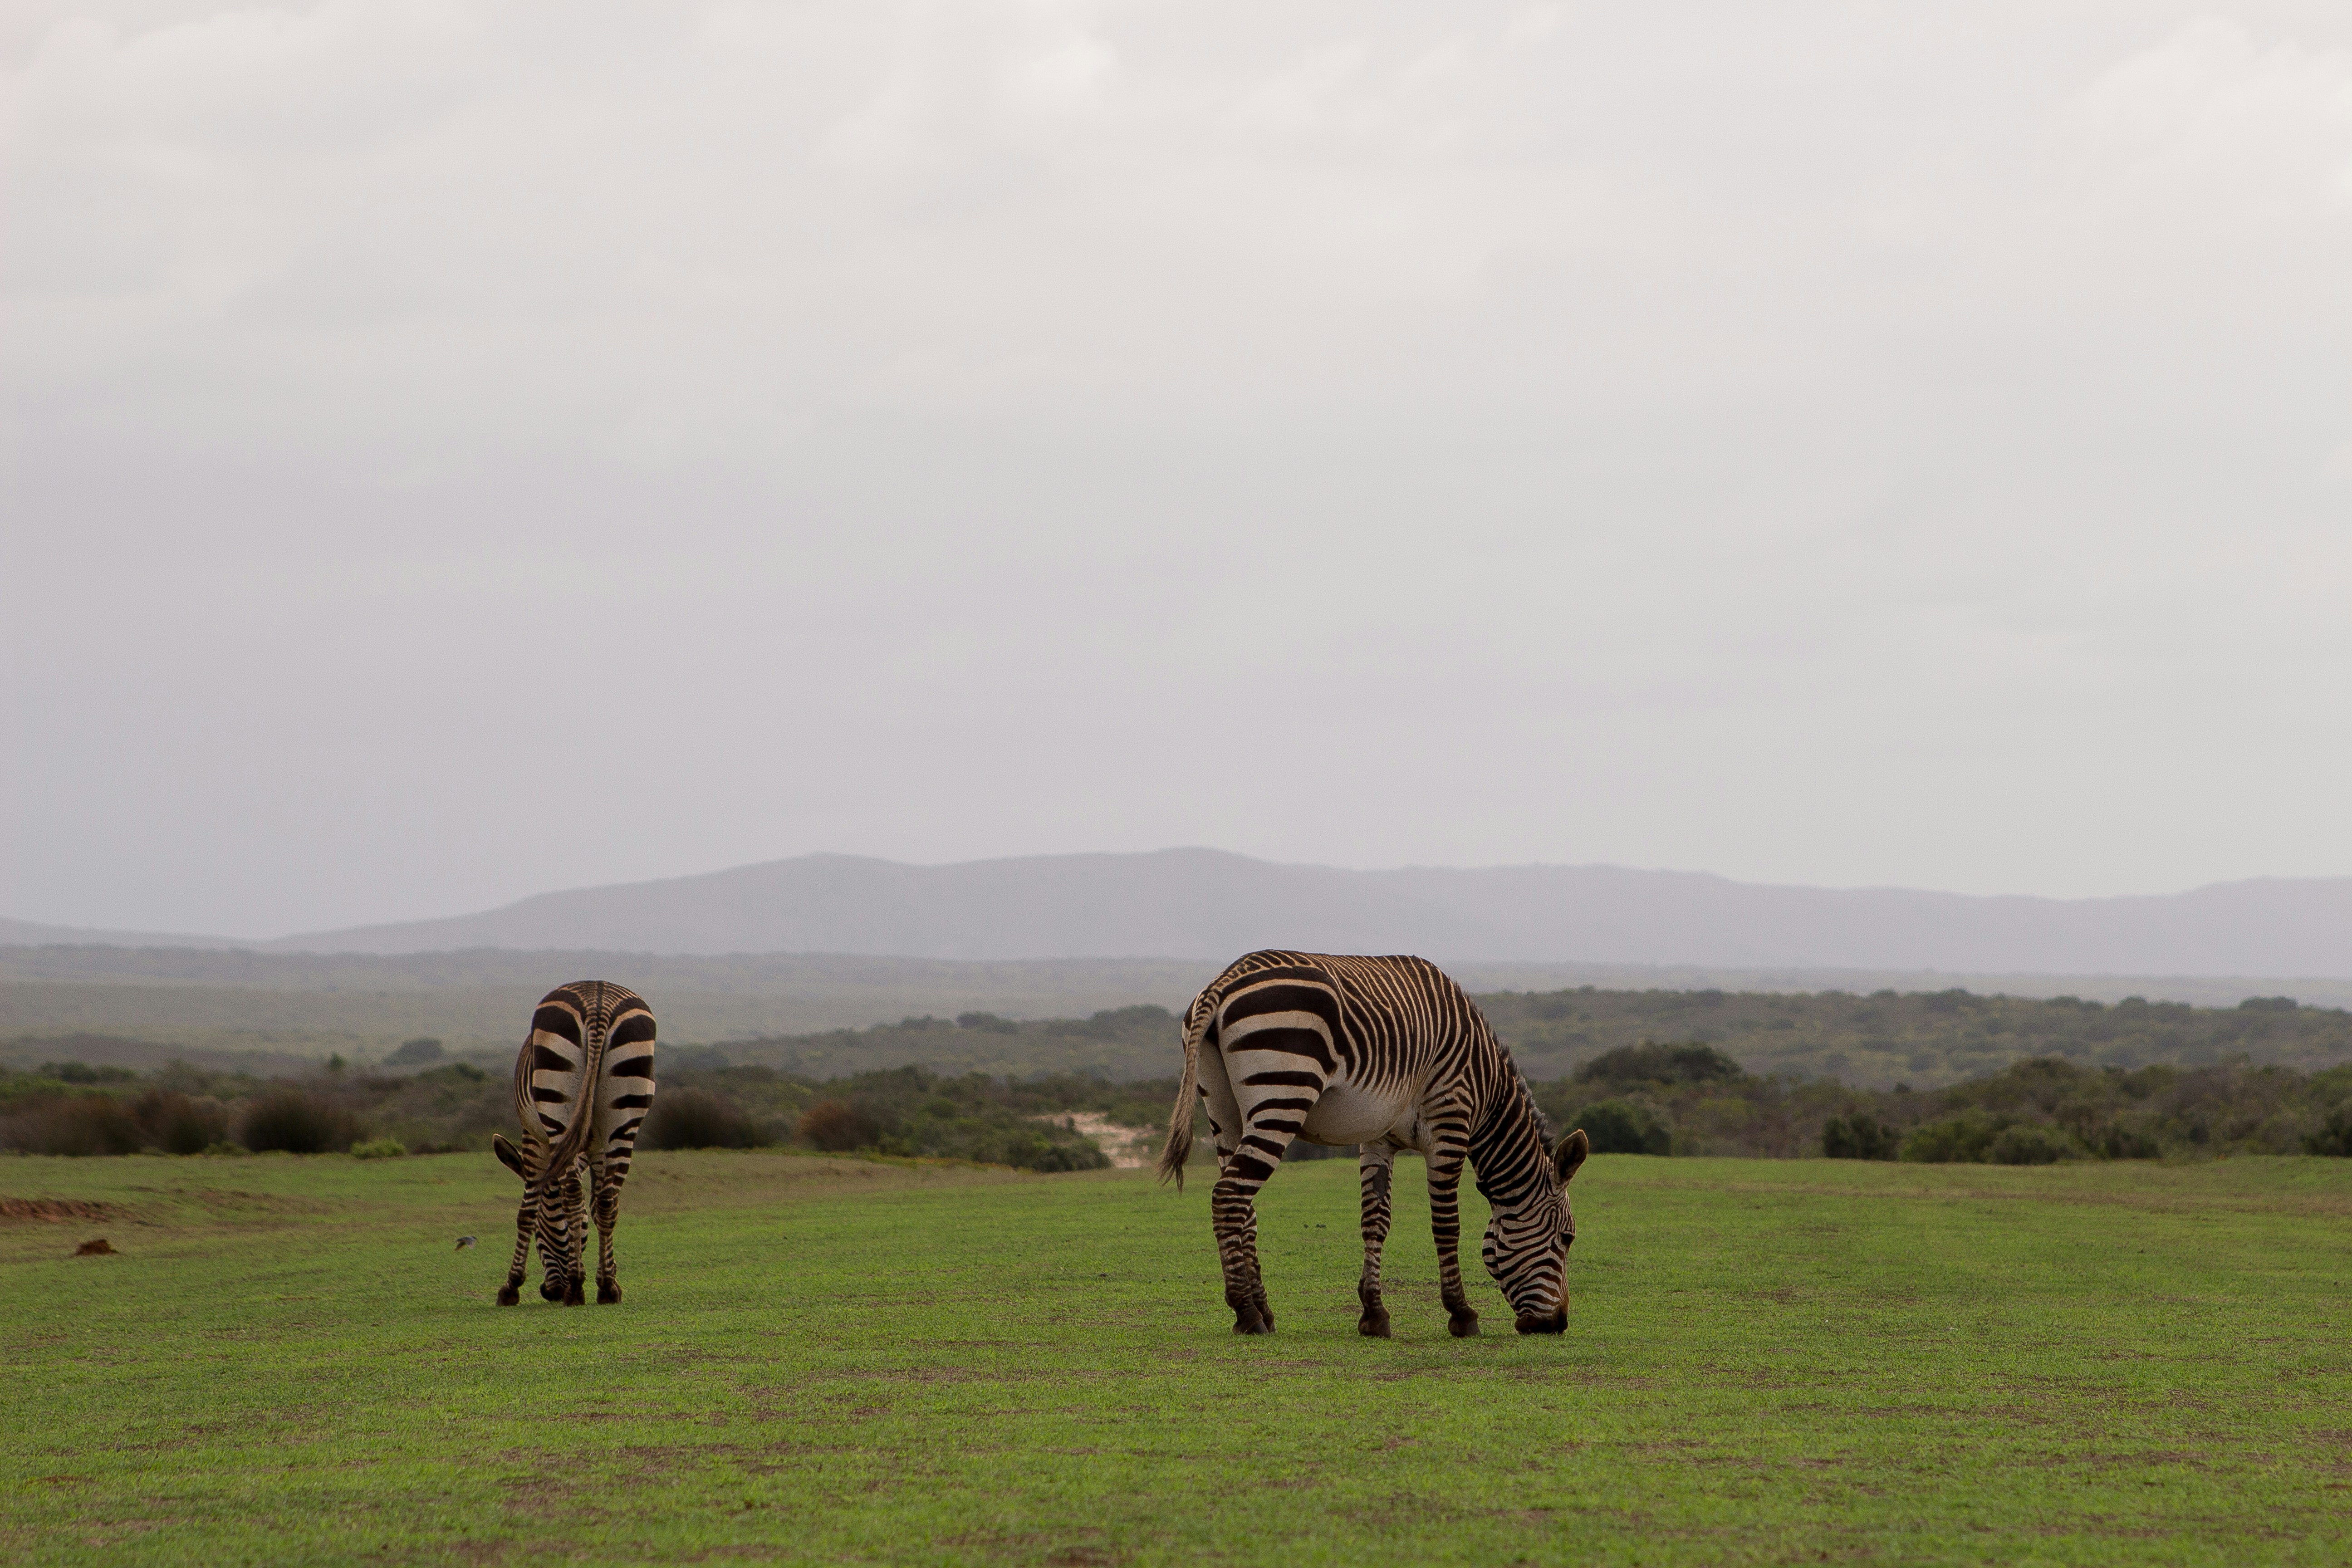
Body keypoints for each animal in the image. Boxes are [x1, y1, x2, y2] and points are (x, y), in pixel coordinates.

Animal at [490, 981, 657, 1306]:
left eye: (542, 1234)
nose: (549, 1292)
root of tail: (598, 1001)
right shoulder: (595, 1147)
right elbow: (594, 1206)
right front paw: (610, 1276)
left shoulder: (534, 1138)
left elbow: (527, 1210)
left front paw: (511, 1287)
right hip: (624, 1114)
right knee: (607, 1201)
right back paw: (605, 1289)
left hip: (558, 1108)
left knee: (572, 1193)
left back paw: (576, 1288)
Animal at [1157, 951, 1589, 1338]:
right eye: (1567, 1238)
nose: (1558, 1325)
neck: (1485, 1090)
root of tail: (1223, 982)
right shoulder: (1449, 1125)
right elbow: (1447, 1226)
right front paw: (1462, 1314)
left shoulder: (1378, 1138)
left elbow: (1375, 1221)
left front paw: (1374, 1315)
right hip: (1282, 1094)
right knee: (1228, 1197)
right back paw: (1246, 1314)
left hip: (1223, 1110)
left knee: (1244, 1208)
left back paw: (1264, 1311)